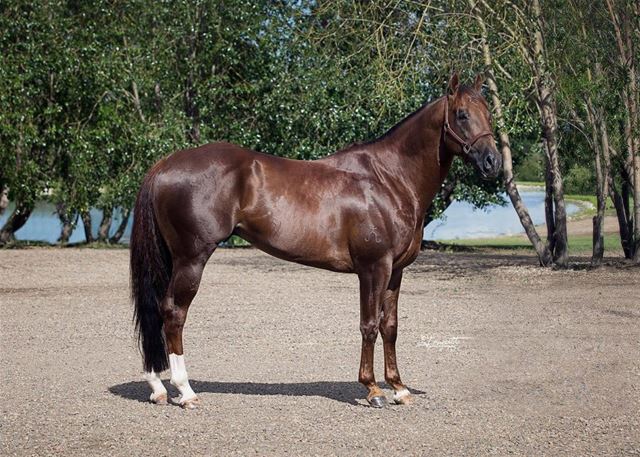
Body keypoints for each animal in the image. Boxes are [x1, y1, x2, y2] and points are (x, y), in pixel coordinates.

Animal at [130, 73, 502, 409]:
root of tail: (165, 164)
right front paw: (373, 389)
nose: (493, 162)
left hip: (174, 259)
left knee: (157, 310)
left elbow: (390, 326)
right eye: (462, 114)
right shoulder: (373, 268)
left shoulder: (395, 271)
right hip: (192, 258)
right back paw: (185, 391)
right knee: (173, 313)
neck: (388, 179)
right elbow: (369, 325)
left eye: (488, 112)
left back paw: (158, 388)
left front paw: (399, 387)